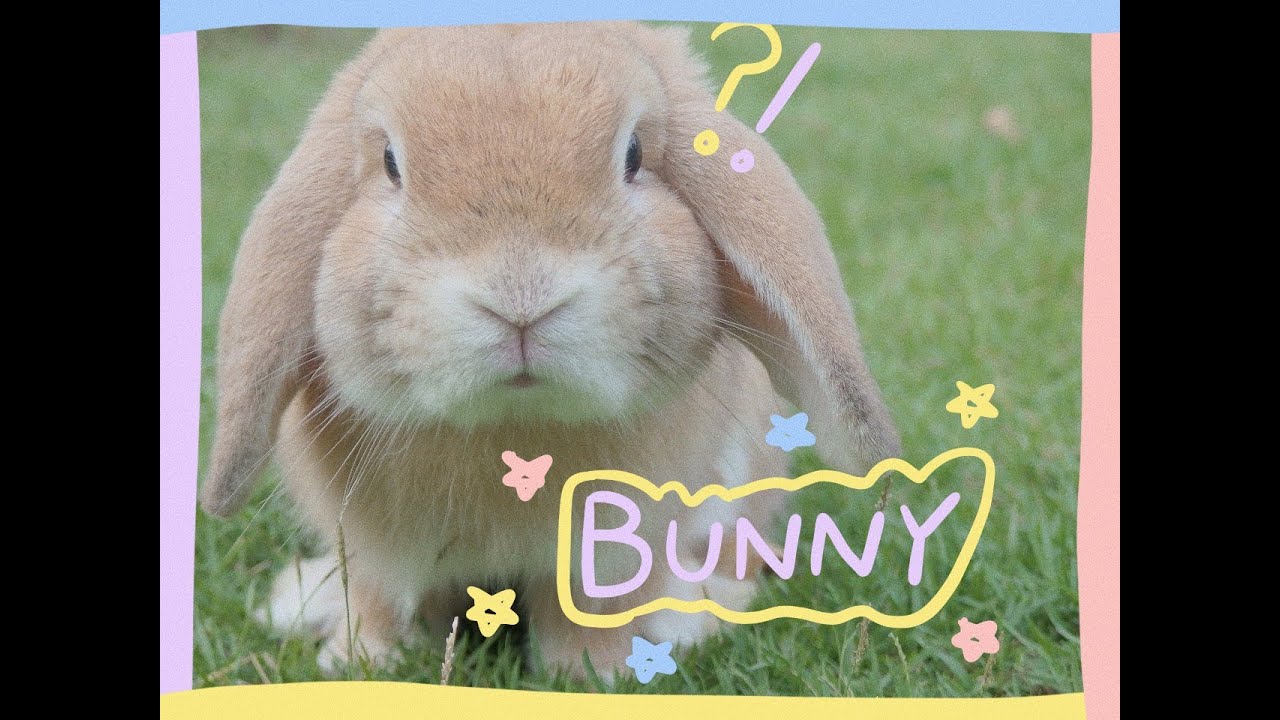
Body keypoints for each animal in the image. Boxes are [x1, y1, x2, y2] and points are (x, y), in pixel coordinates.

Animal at [201, 22, 899, 677]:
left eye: (634, 155)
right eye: (392, 164)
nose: (520, 296)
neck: (512, 426)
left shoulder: (611, 551)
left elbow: (591, 609)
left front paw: (594, 673)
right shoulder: (372, 547)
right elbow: (379, 599)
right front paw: (359, 661)